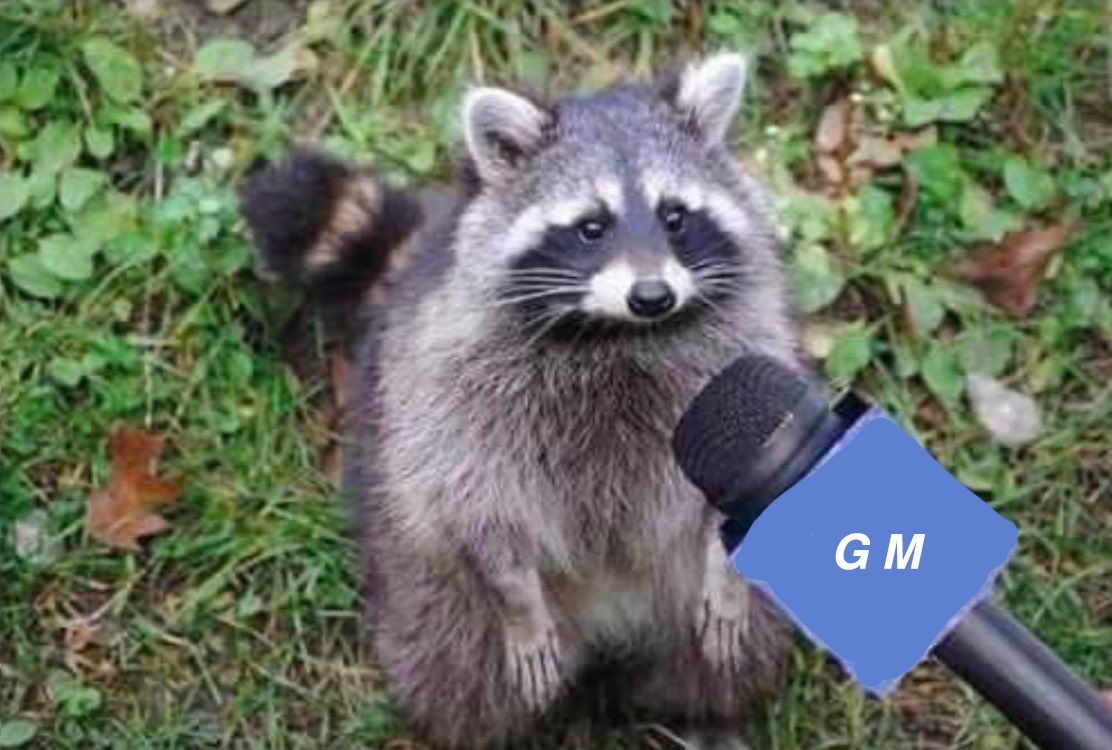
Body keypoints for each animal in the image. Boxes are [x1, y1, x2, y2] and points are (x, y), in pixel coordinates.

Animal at [241, 53, 797, 749]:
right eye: (591, 227)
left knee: (731, 644)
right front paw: (517, 599)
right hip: (430, 590)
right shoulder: (455, 393)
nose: (652, 296)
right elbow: (478, 502)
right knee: (457, 673)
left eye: (675, 216)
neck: (615, 334)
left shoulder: (738, 357)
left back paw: (708, 710)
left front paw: (724, 574)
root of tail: (609, 627)